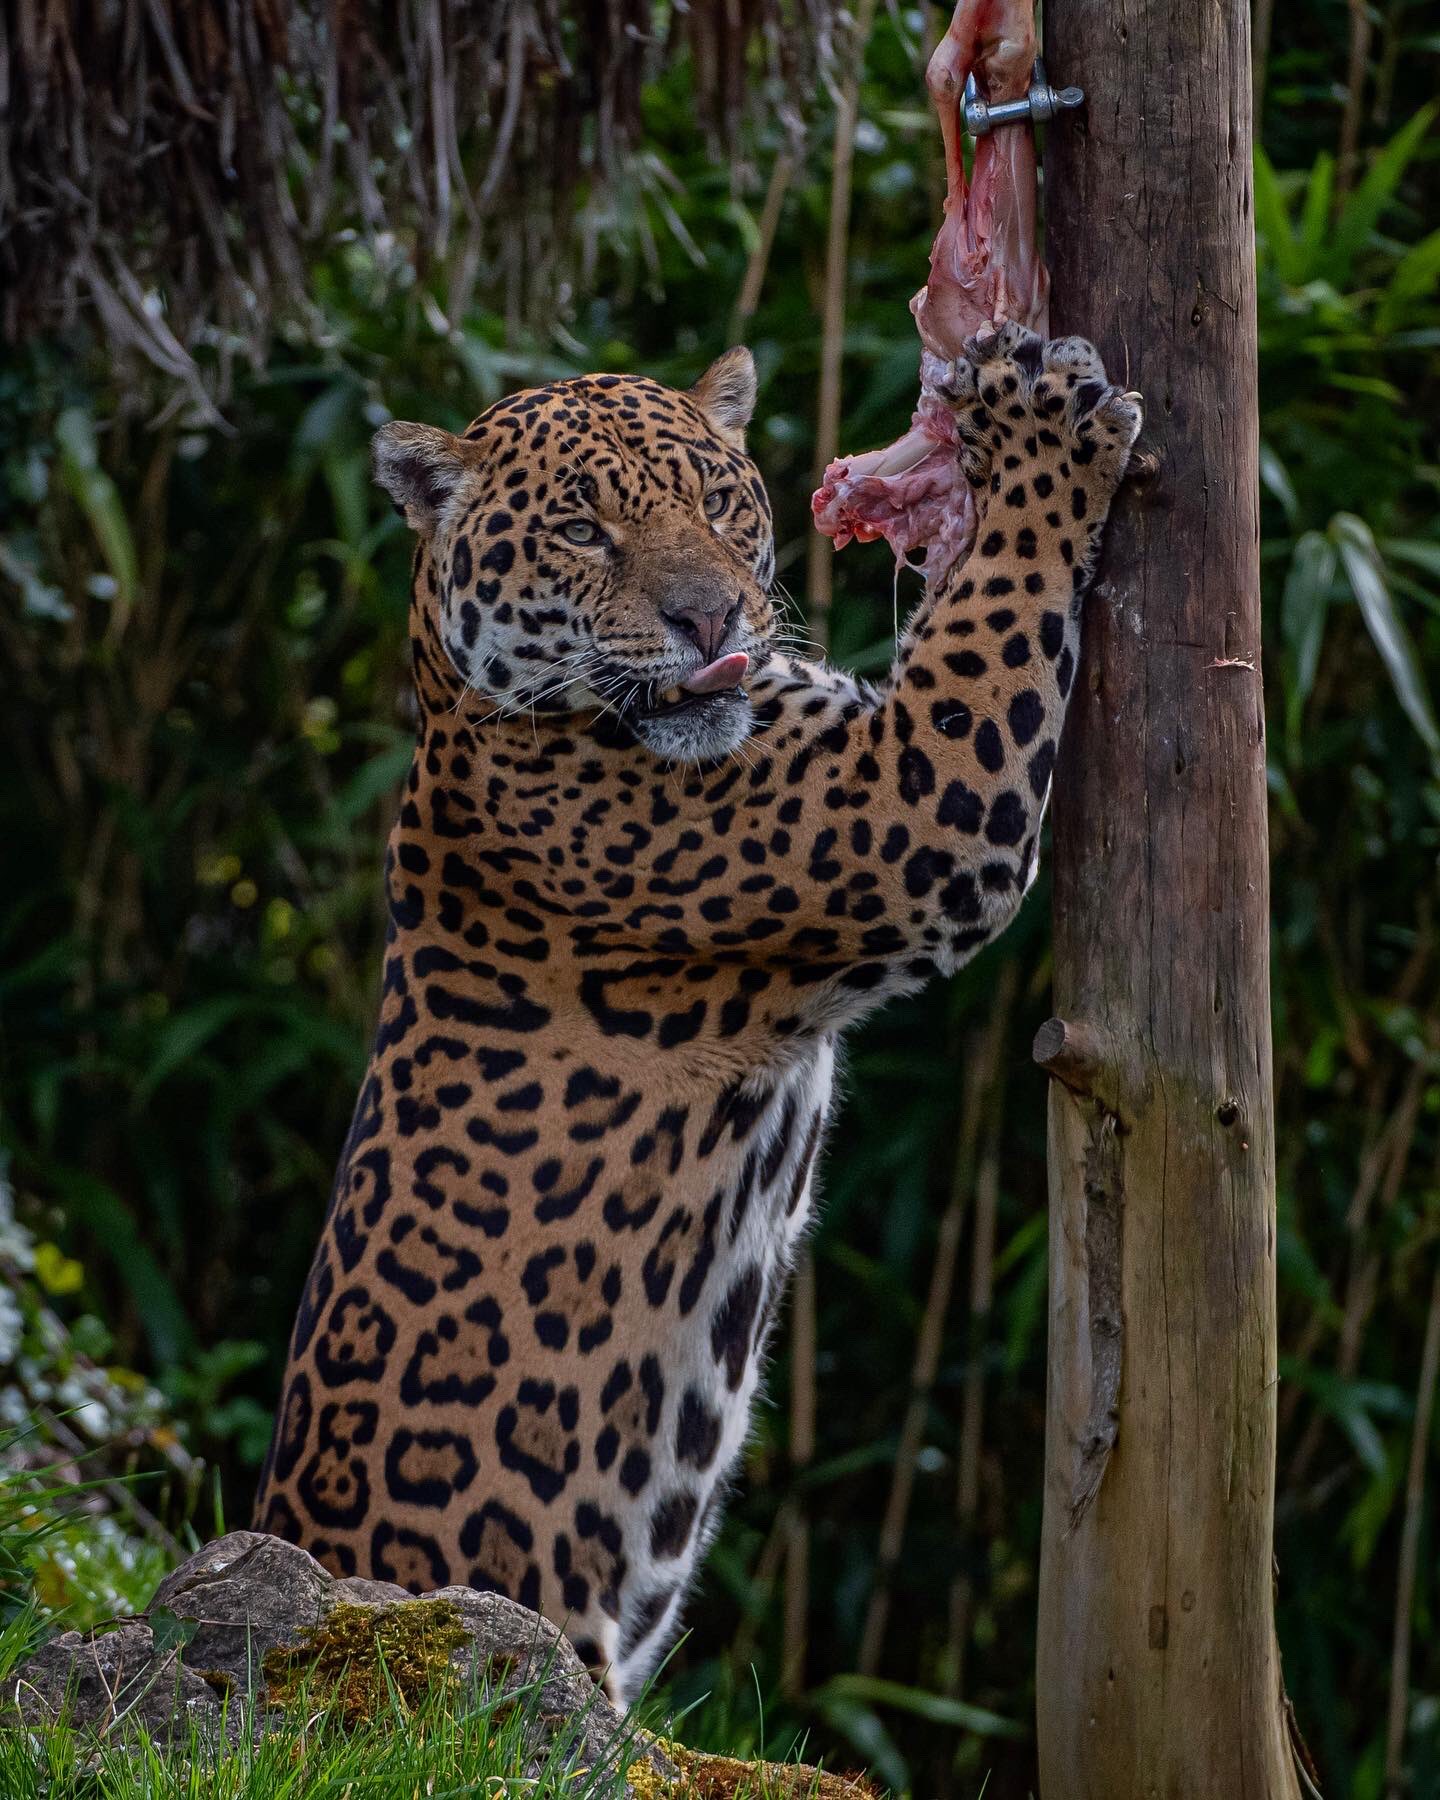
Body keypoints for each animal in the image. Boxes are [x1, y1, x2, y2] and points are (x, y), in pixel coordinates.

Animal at [254, 320, 1142, 1702]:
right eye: (583, 531)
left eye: (719, 504)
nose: (708, 616)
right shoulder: (908, 806)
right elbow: (995, 611)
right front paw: (1038, 424)